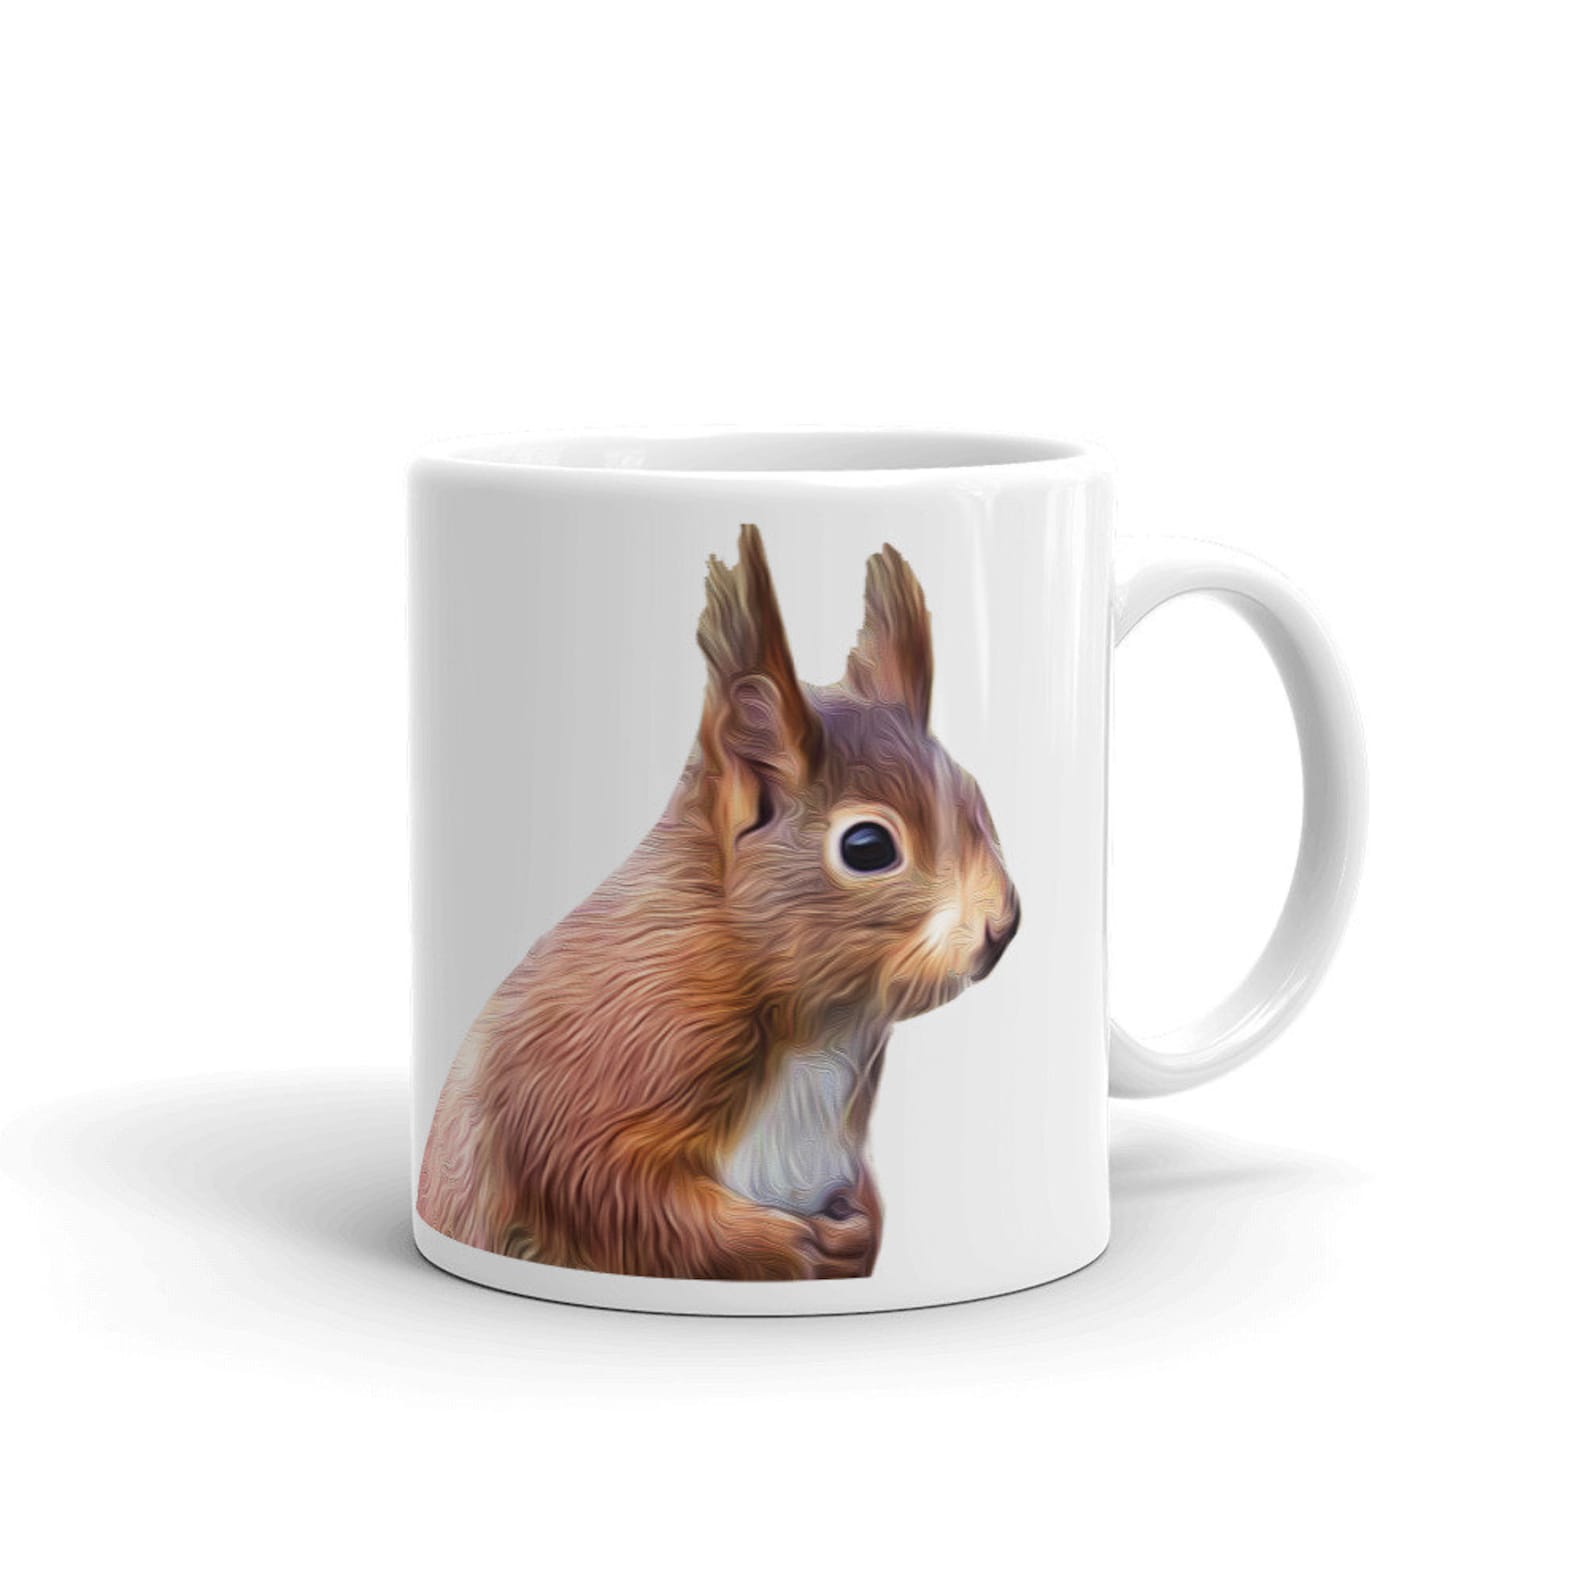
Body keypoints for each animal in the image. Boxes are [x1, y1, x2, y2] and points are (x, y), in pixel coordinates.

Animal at [417, 524, 1019, 1281]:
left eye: (976, 799)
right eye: (867, 847)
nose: (1003, 926)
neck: (820, 1024)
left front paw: (864, 1226)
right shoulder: (607, 1053)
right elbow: (602, 1187)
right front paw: (785, 1248)